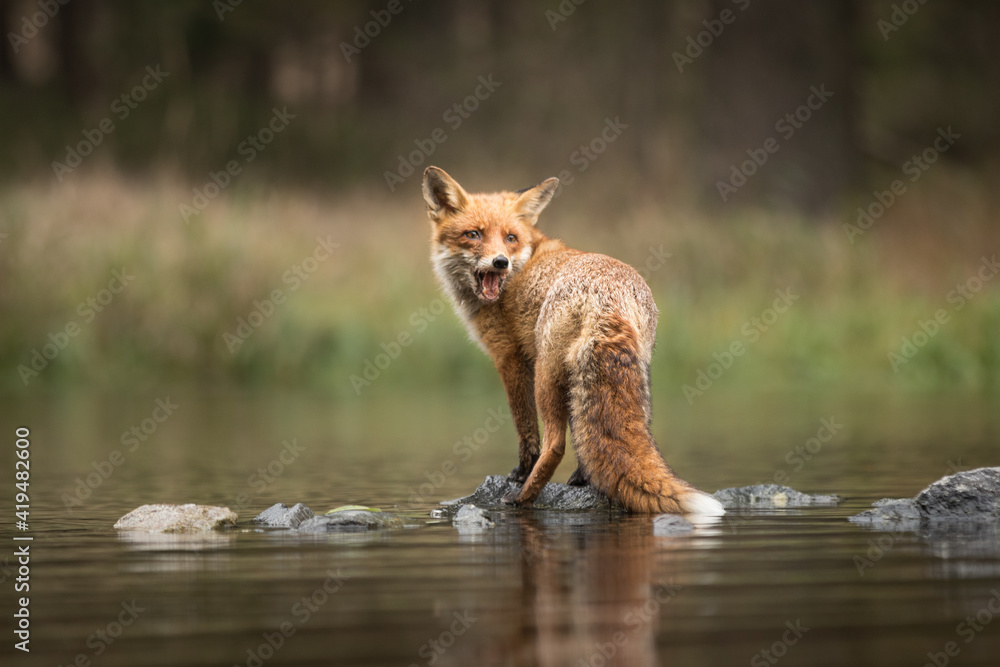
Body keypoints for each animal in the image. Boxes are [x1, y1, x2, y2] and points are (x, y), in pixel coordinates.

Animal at [421, 166, 725, 516]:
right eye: (473, 235)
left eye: (510, 238)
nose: (500, 262)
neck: (524, 264)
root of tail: (611, 298)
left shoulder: (509, 357)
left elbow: (525, 428)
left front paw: (520, 473)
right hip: (631, 376)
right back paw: (583, 478)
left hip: (547, 373)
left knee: (556, 443)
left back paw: (523, 497)